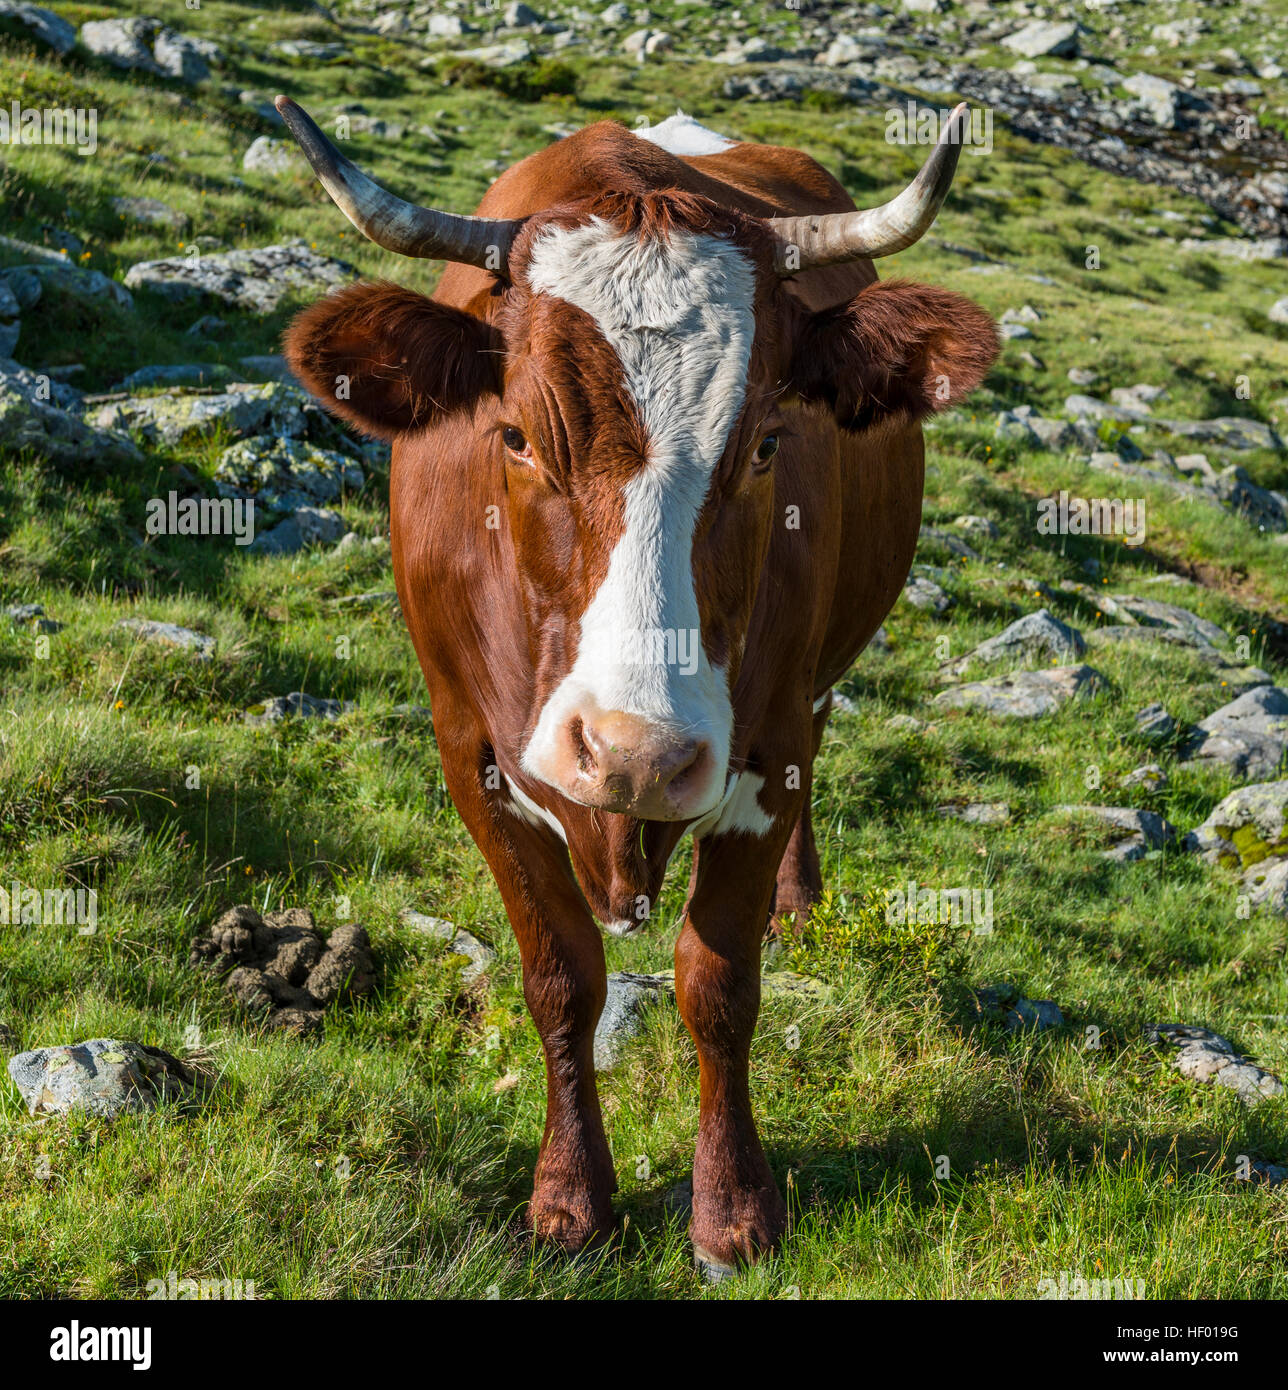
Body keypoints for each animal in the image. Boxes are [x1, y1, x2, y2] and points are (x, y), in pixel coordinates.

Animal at [276, 94, 998, 1278]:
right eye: (517, 436)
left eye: (765, 445)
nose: (636, 755)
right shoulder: (471, 751)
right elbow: (560, 978)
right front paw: (571, 1199)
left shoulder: (768, 748)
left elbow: (718, 982)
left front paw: (733, 1210)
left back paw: (802, 903)